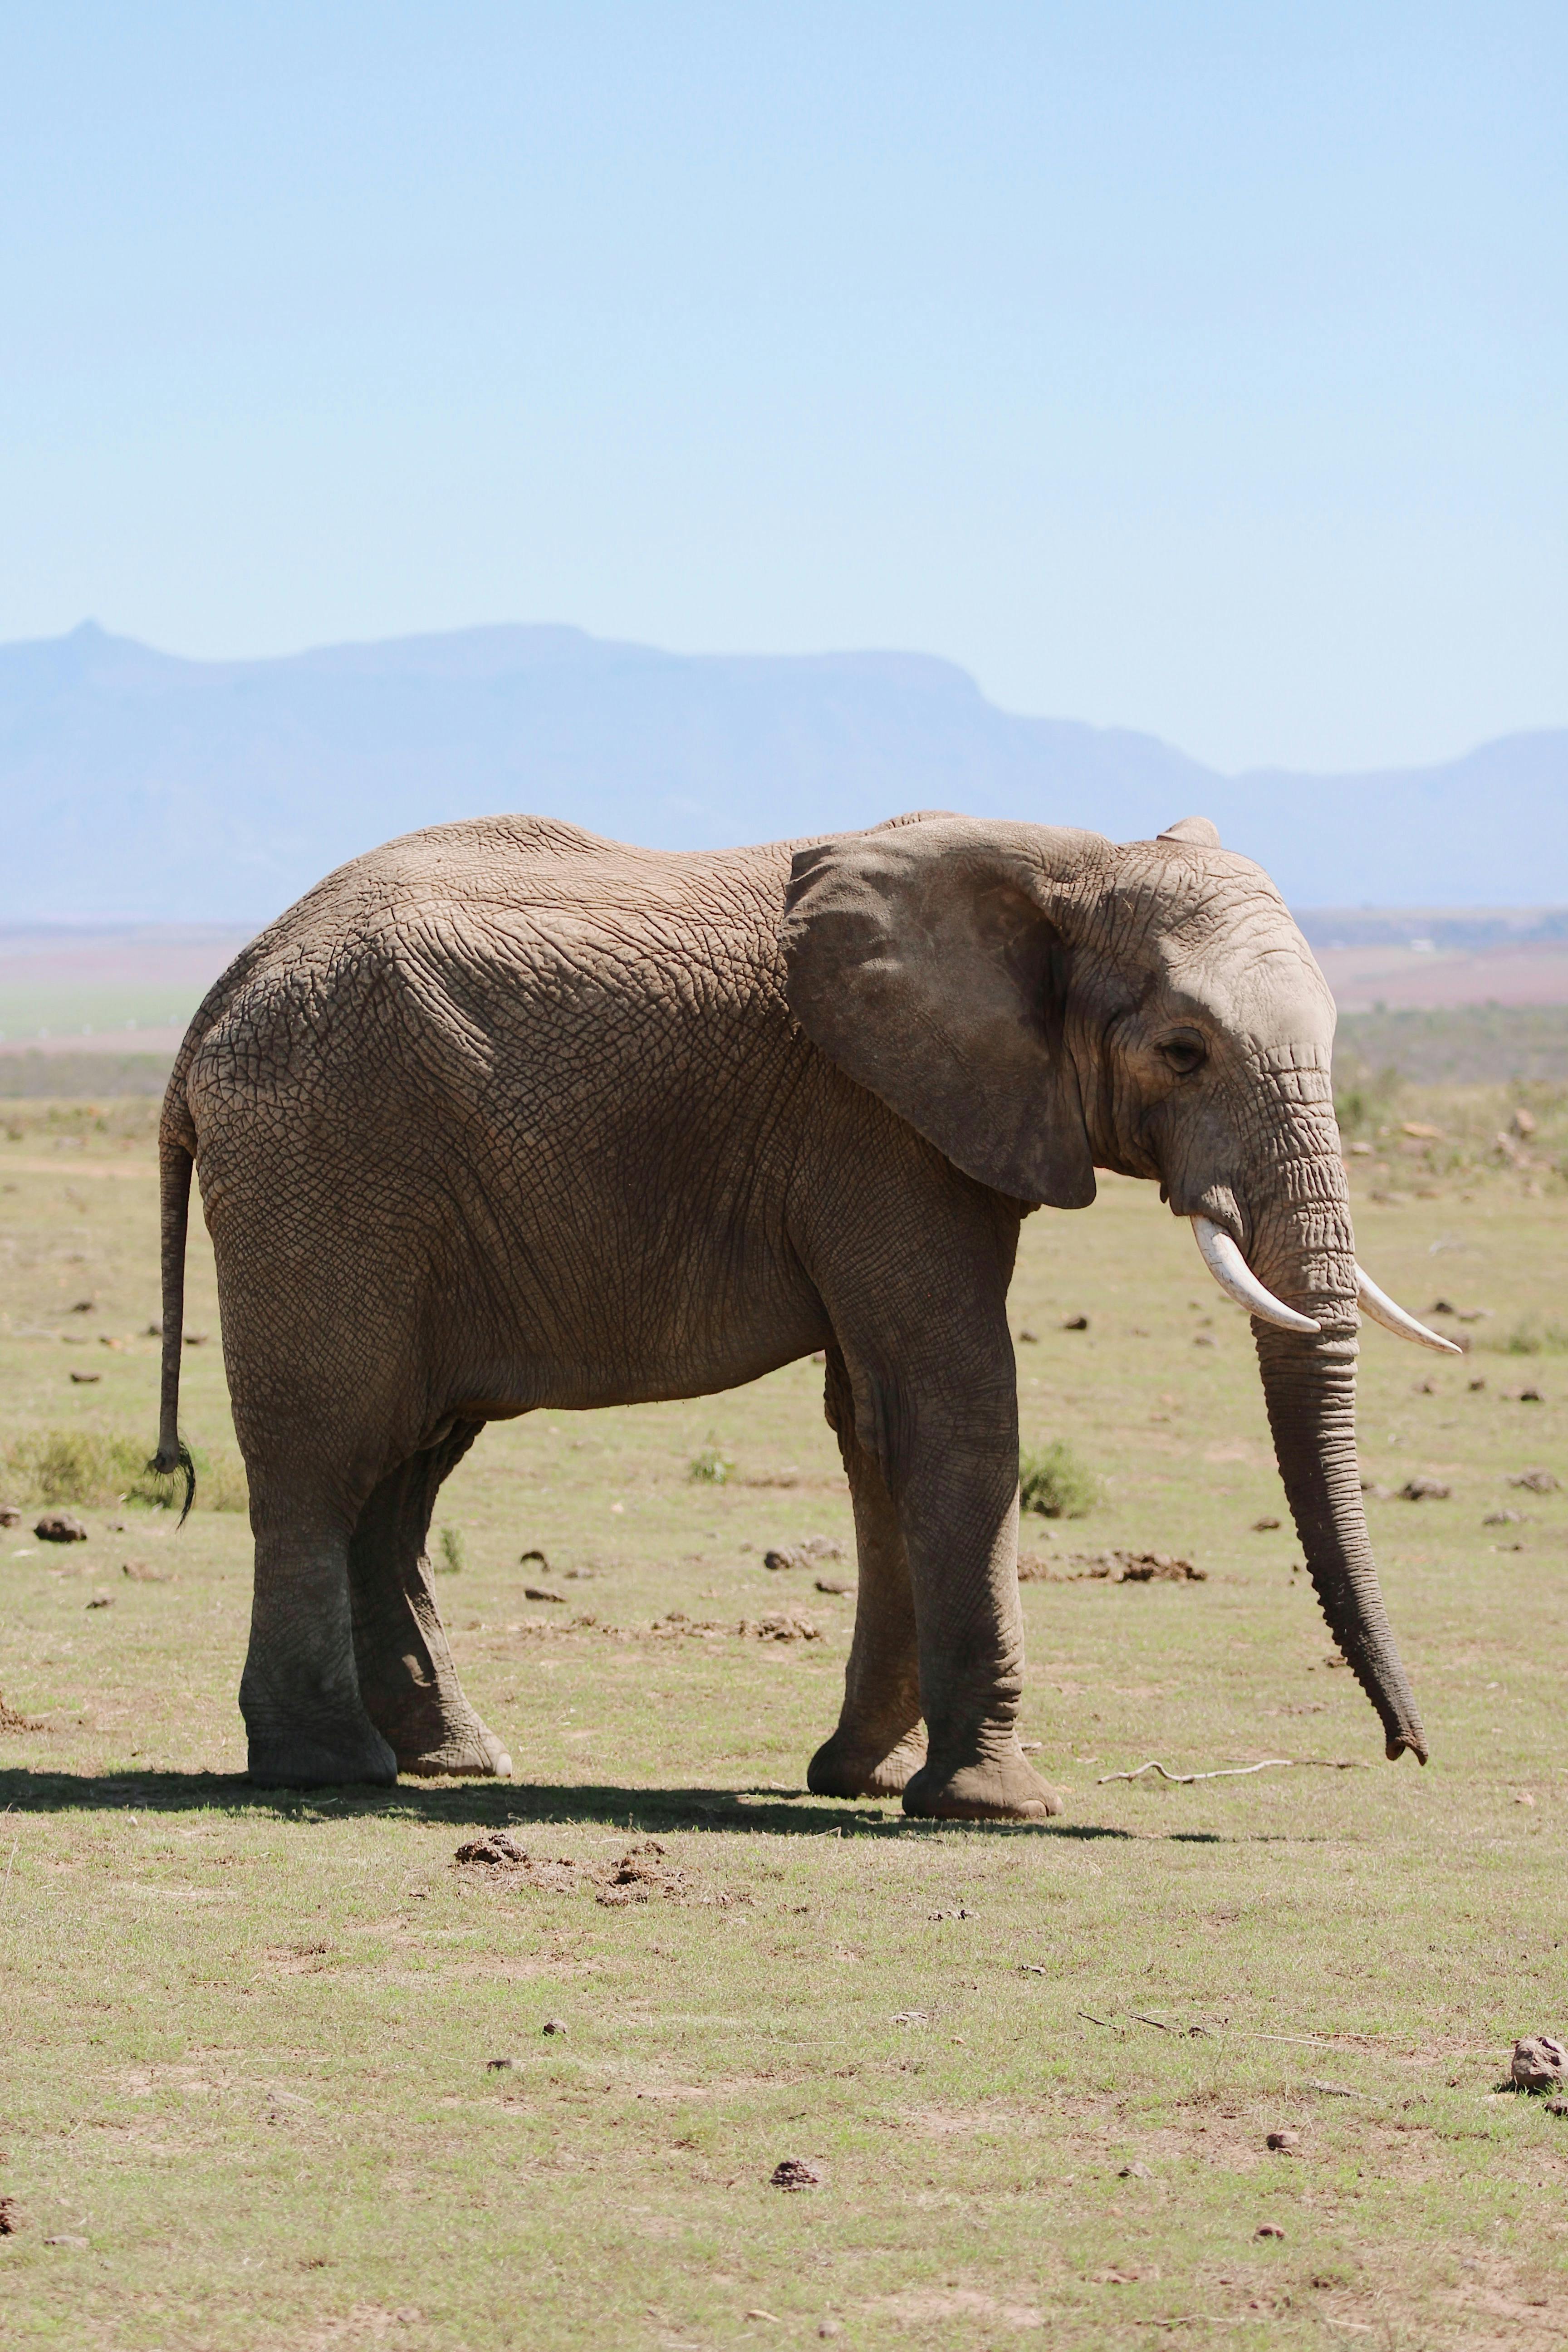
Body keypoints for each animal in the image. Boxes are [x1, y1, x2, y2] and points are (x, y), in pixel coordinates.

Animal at [152, 809, 1457, 1813]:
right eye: (1184, 1052)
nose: (1409, 1751)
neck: (1066, 859)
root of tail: (216, 999)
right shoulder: (875, 1125)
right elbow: (954, 1407)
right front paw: (993, 1805)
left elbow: (875, 1427)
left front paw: (863, 1779)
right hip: (326, 1159)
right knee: (325, 1451)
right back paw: (330, 1770)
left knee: (406, 1468)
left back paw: (454, 1761)